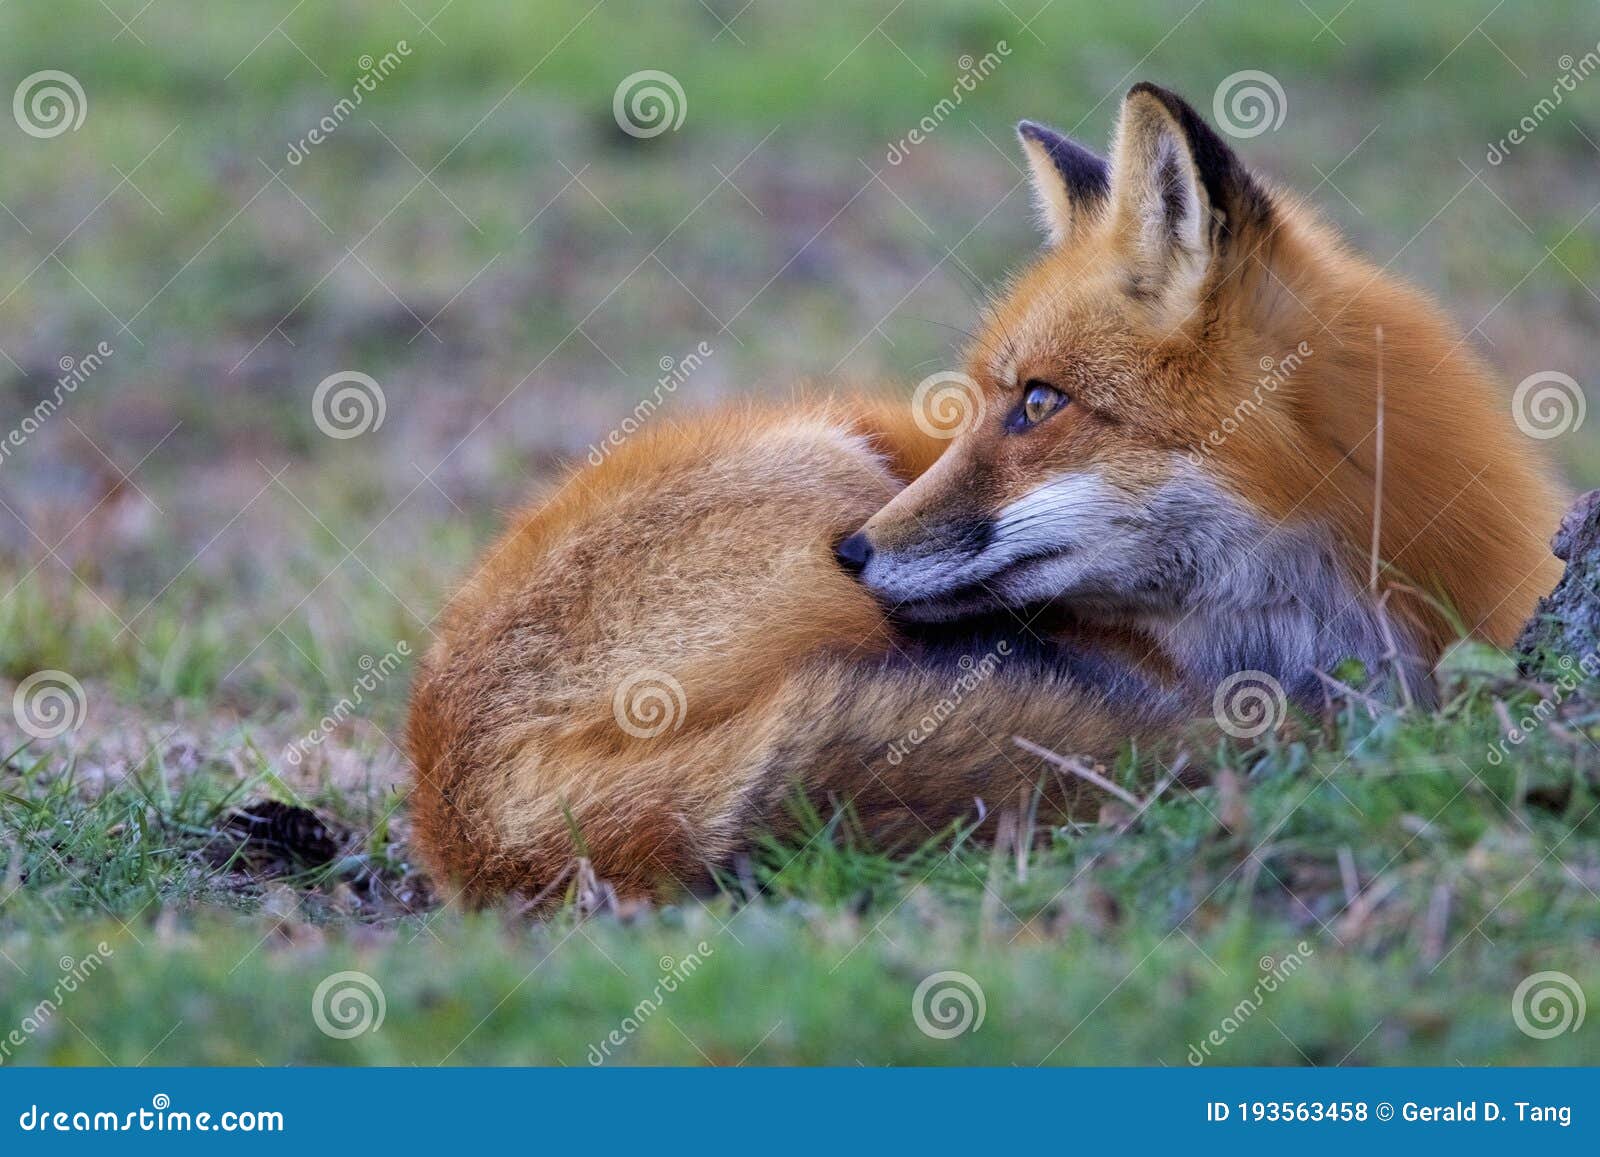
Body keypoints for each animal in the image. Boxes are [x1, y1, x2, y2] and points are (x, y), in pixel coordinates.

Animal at [407, 83, 1563, 907]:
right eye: (973, 402)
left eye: (1038, 401)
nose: (852, 552)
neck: (1317, 618)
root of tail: (457, 794)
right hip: (826, 462)